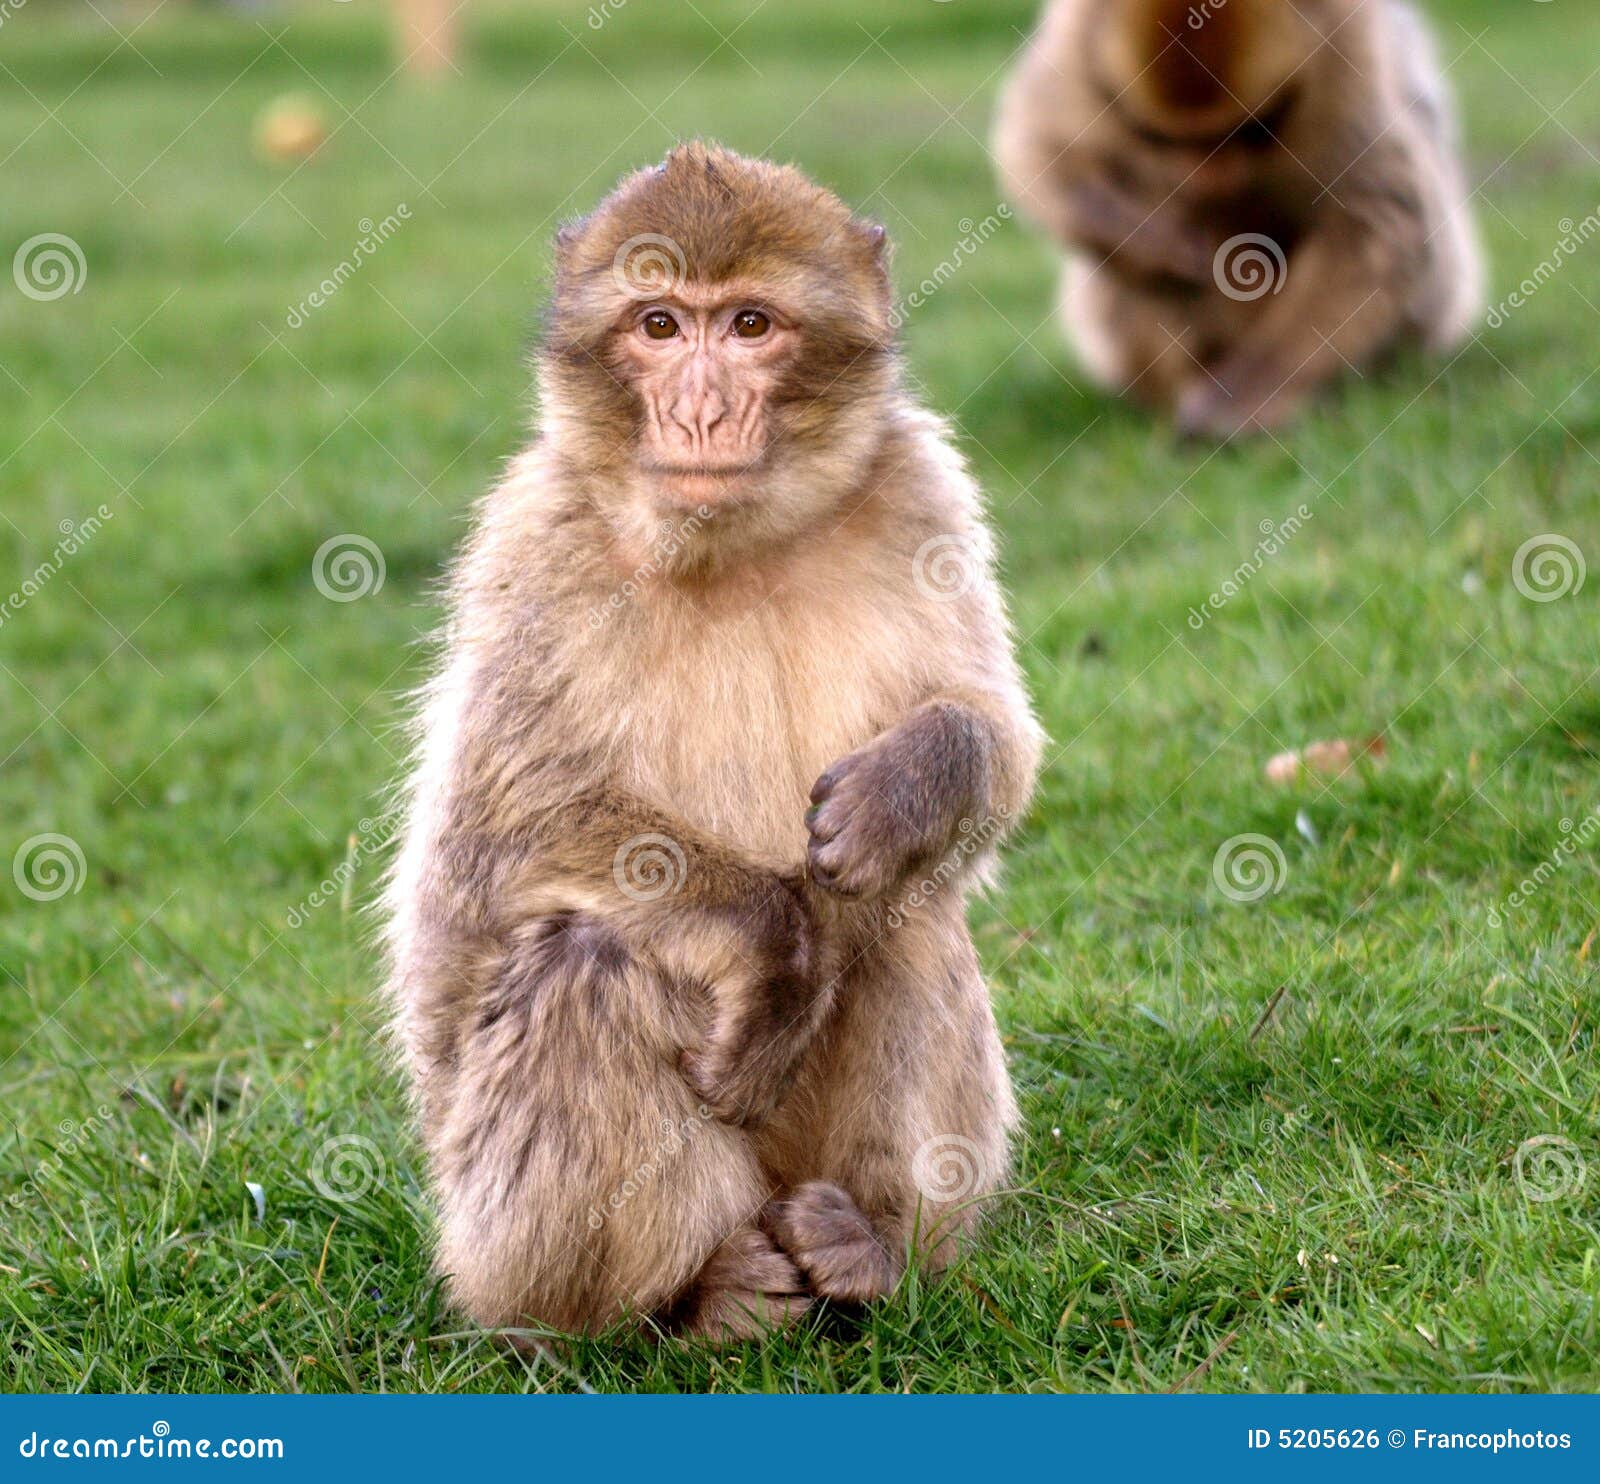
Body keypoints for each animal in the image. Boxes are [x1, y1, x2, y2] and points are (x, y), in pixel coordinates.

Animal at [382, 143, 1042, 1340]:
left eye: (747, 325)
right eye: (657, 325)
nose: (697, 407)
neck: (739, 548)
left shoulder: (923, 490)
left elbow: (997, 743)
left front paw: (911, 785)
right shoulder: (536, 538)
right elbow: (494, 837)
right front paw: (780, 950)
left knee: (910, 915)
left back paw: (871, 1242)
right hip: (493, 1228)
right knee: (583, 965)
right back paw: (688, 1292)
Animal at [992, 0, 1483, 437]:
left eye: (1255, 128)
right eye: (1157, 137)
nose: (1207, 183)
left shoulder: (1346, 68)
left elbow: (1376, 223)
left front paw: (1247, 395)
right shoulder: (1073, 53)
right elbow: (1038, 151)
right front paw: (1153, 242)